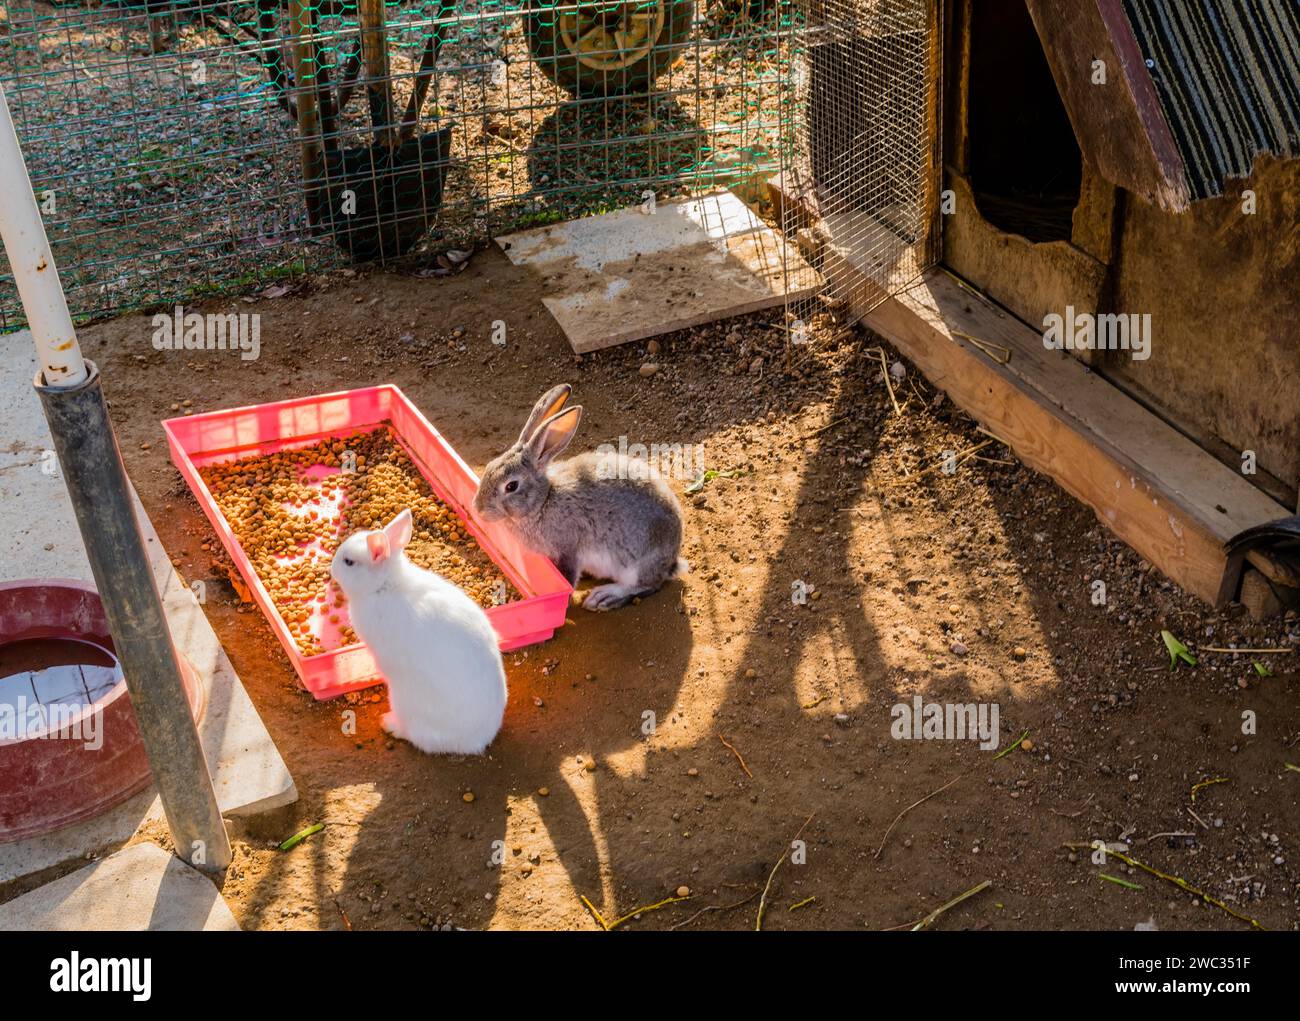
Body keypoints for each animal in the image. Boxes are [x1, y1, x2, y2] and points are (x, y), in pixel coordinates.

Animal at [330, 508, 507, 755]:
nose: (331, 568)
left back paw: (389, 724)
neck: (384, 586)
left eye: (349, 562)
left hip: (404, 702)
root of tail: (477, 742)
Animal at [473, 383, 686, 611]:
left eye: (511, 486)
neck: (543, 501)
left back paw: (605, 597)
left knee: (646, 585)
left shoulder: (568, 550)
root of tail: (671, 562)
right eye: (488, 466)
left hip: (637, 564)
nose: (478, 508)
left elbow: (568, 576)